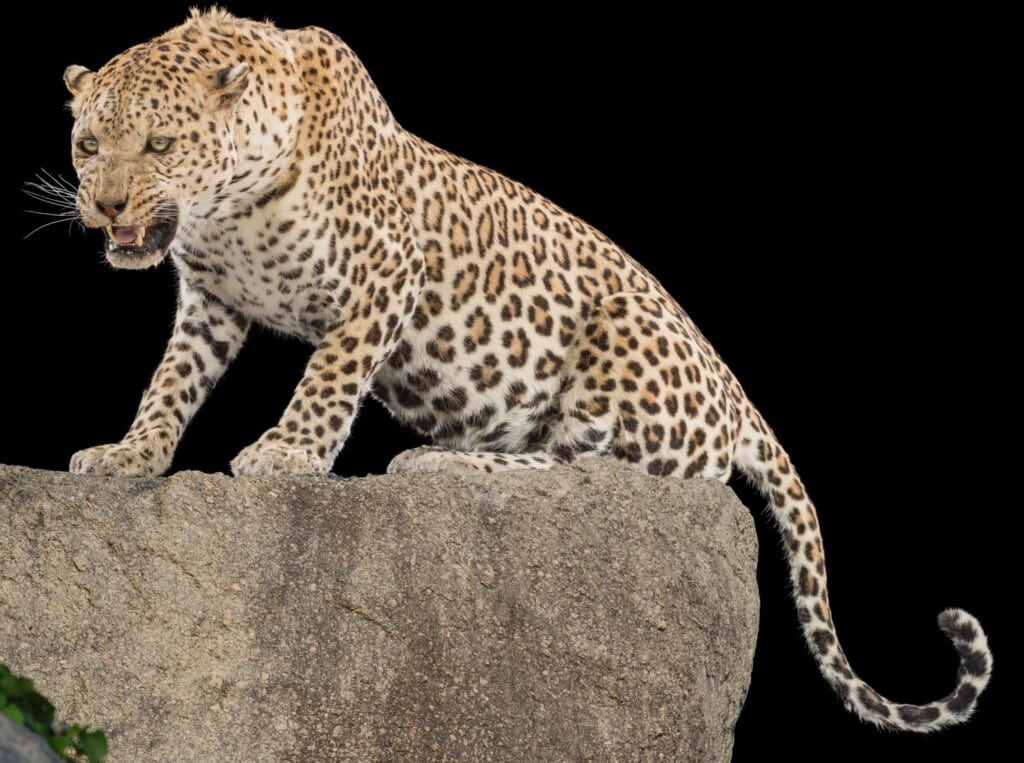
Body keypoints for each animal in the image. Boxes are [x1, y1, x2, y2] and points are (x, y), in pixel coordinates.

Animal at [60, 8, 990, 731]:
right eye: (87, 143)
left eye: (162, 141)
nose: (104, 205)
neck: (226, 210)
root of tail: (740, 399)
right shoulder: (208, 301)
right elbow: (169, 385)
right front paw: (128, 453)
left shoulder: (382, 278)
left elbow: (327, 379)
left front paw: (286, 453)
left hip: (619, 344)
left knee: (592, 471)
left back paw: (440, 461)